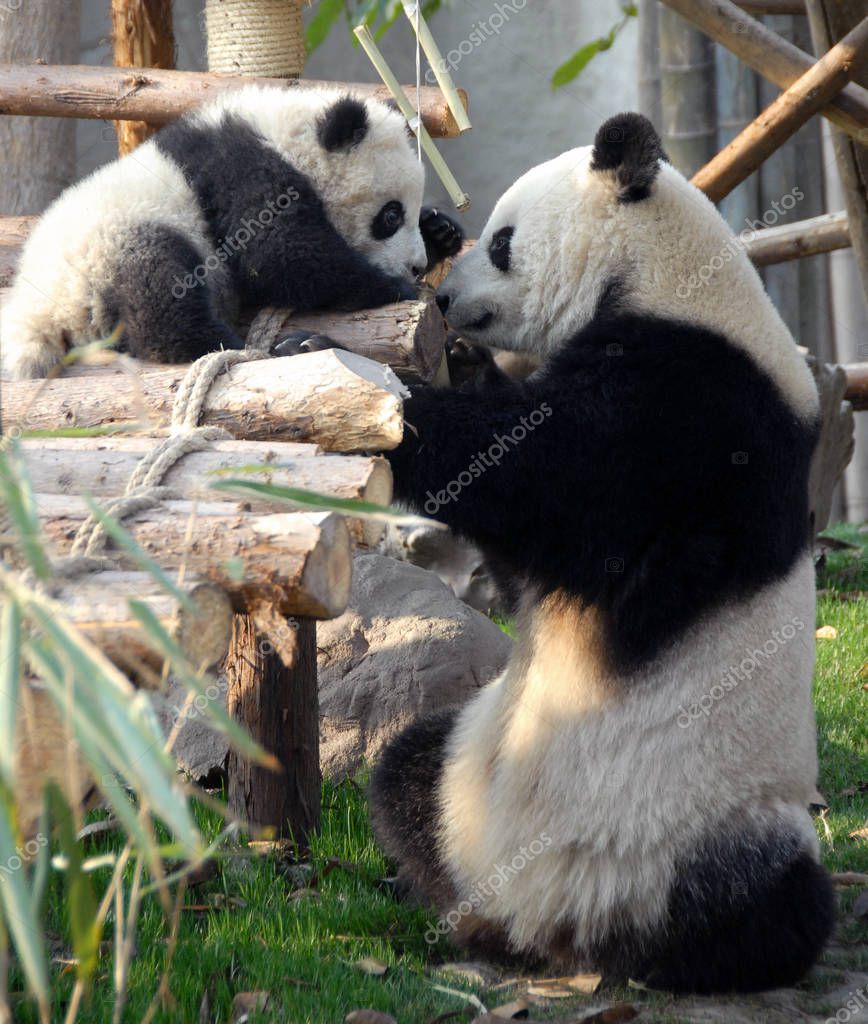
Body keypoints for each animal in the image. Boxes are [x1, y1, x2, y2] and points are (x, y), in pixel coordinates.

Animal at [0, 87, 463, 380]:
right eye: (390, 215)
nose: (415, 265)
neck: (288, 135)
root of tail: (37, 317)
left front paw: (440, 232)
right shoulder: (244, 173)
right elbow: (278, 255)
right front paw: (388, 285)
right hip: (112, 245)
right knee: (161, 293)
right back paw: (230, 345)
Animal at [364, 113, 834, 994]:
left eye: (504, 241)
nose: (443, 298)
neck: (669, 274)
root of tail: (559, 928)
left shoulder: (697, 403)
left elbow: (552, 479)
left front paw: (385, 396)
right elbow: (525, 557)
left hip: (706, 833)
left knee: (779, 914)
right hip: (468, 775)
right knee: (404, 770)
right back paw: (446, 902)